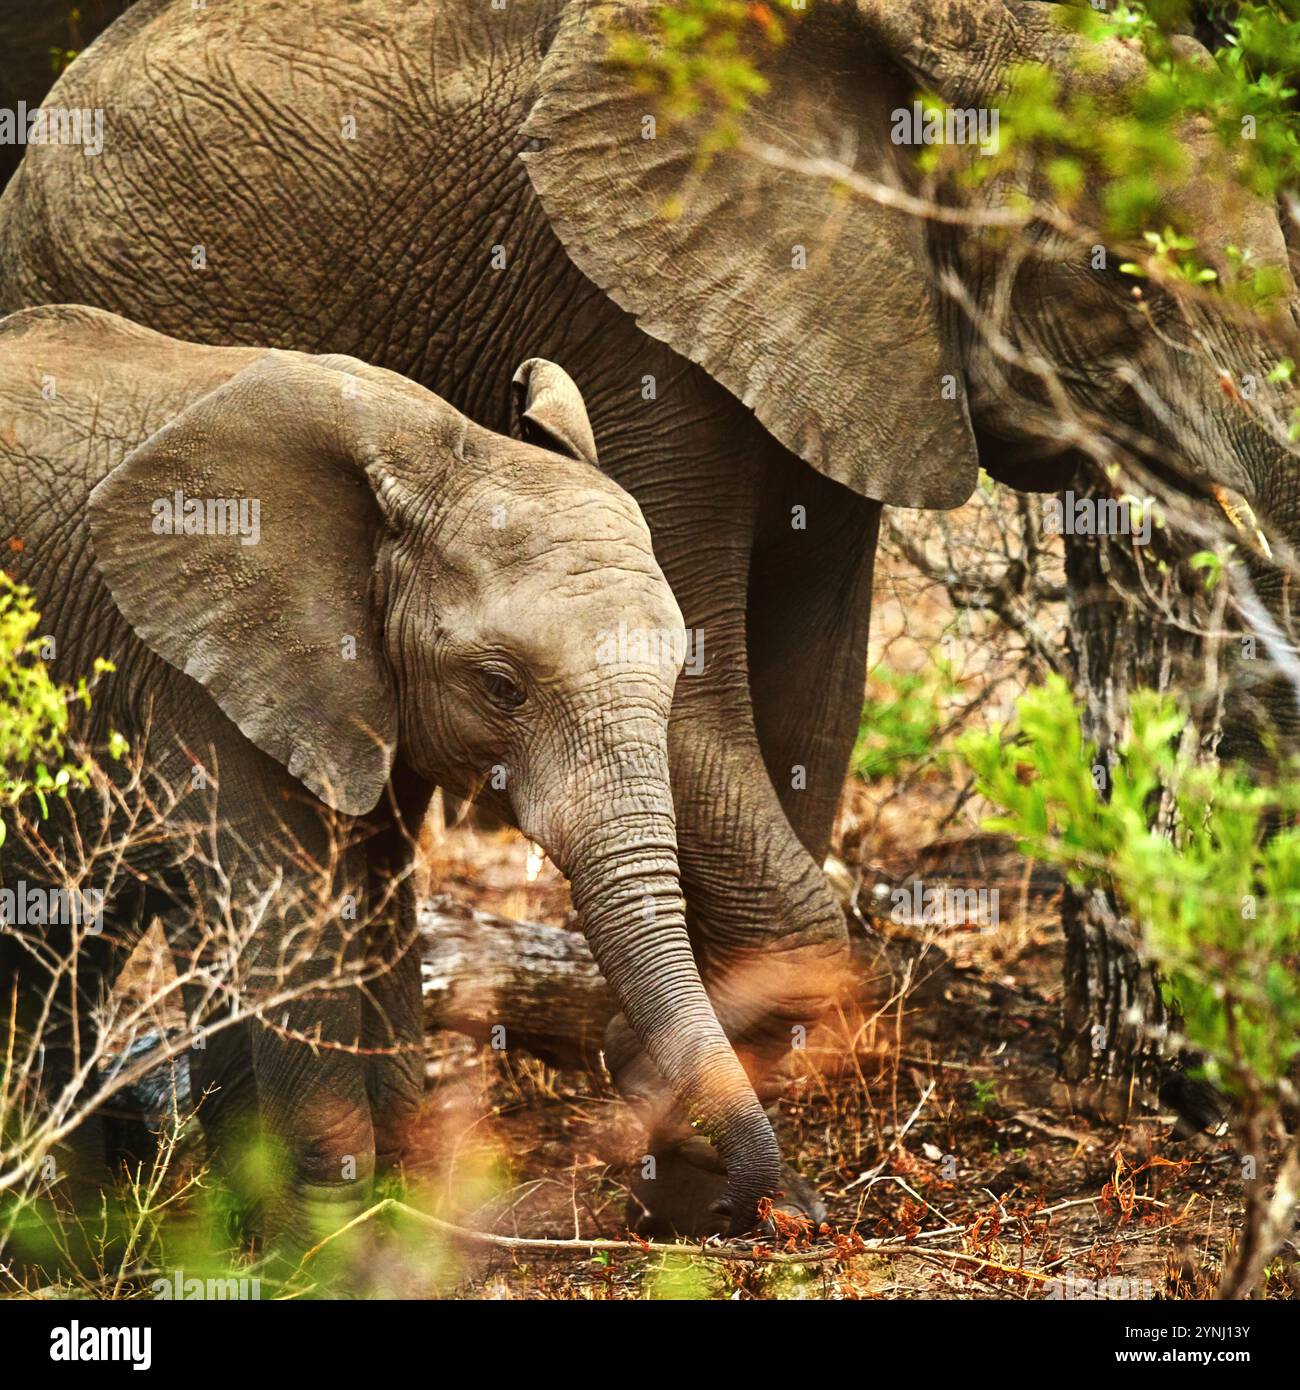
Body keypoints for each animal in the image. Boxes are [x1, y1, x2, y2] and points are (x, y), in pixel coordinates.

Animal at [0, 301, 780, 1264]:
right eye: (502, 687)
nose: (726, 1212)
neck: (431, 456)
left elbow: (377, 902)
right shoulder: (197, 673)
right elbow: (293, 918)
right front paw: (321, 1256)